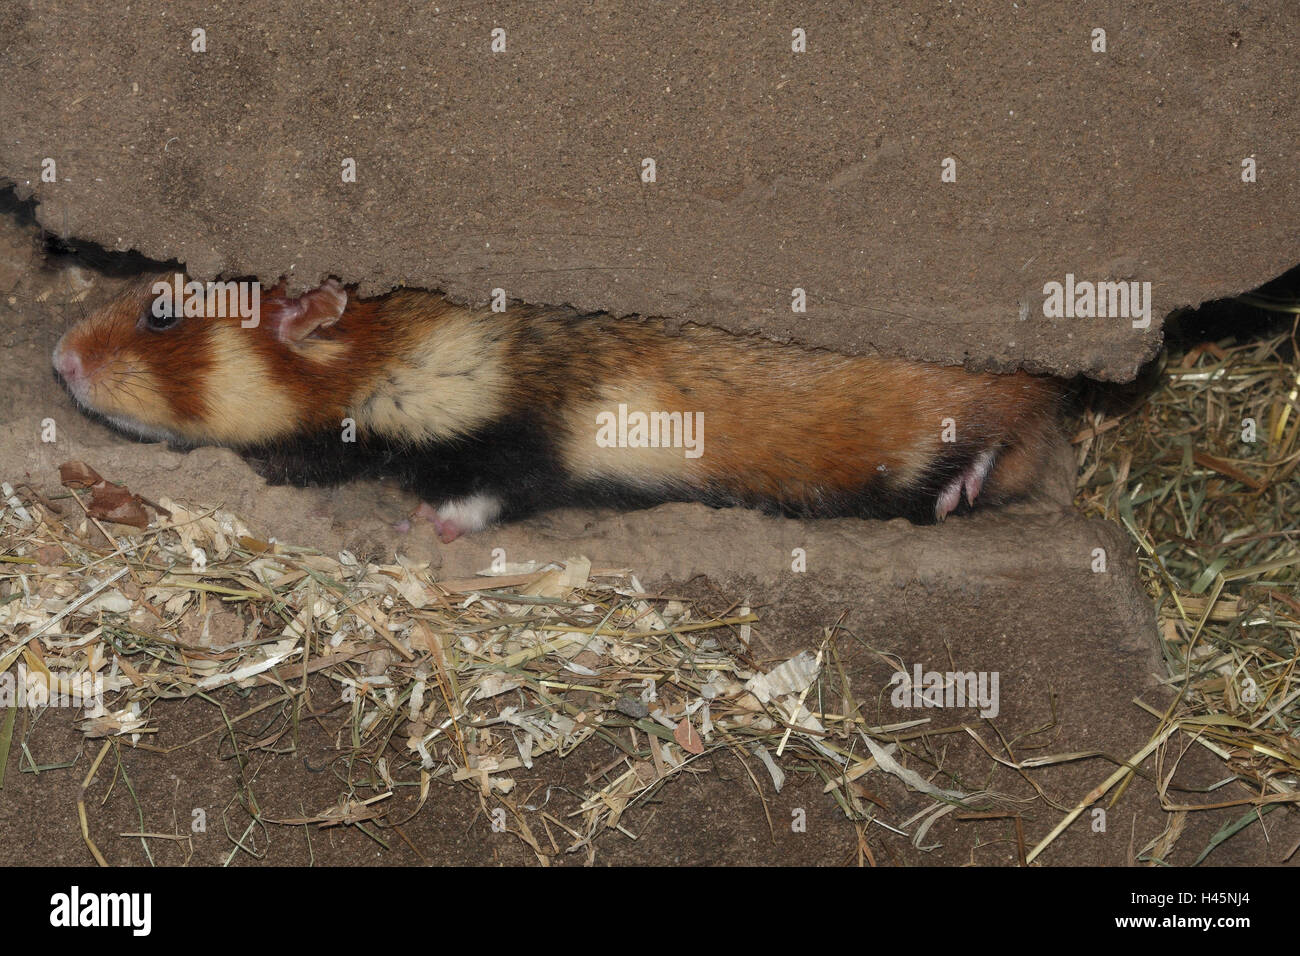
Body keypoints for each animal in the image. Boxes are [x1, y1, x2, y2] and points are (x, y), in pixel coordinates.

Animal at [52, 274, 1062, 541]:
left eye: (161, 313)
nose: (58, 359)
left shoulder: (527, 428)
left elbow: (494, 487)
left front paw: (428, 521)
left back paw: (960, 493)